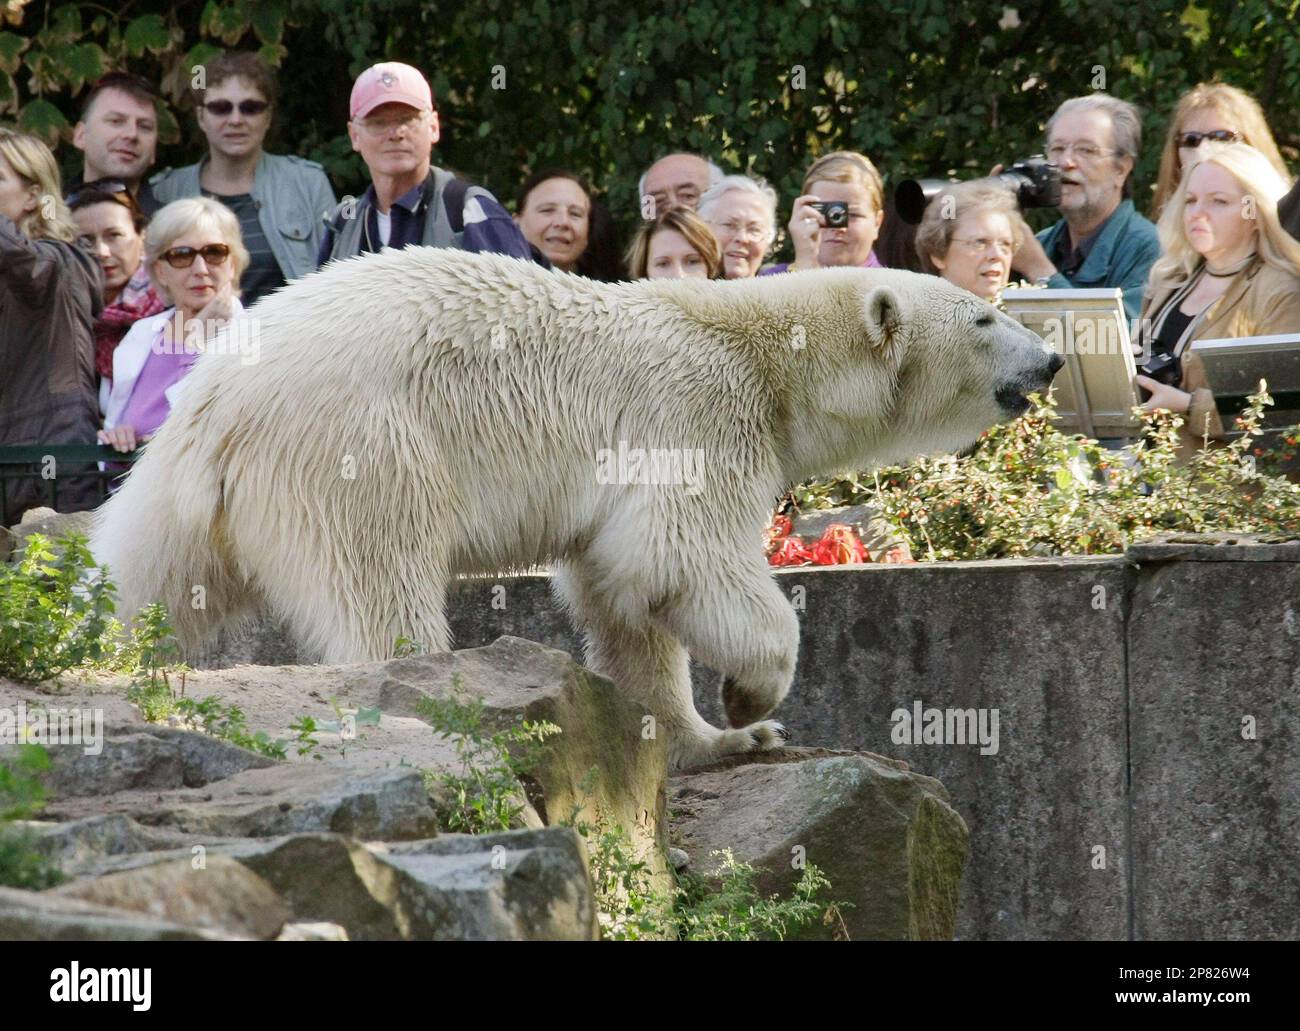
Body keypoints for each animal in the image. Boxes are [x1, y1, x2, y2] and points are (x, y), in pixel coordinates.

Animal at [90, 248, 1061, 770]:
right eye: (984, 317)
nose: (1052, 358)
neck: (765, 350)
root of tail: (212, 399)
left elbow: (621, 601)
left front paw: (717, 737)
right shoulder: (694, 412)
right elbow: (682, 555)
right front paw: (754, 695)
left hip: (198, 502)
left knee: (147, 580)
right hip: (359, 443)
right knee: (381, 580)